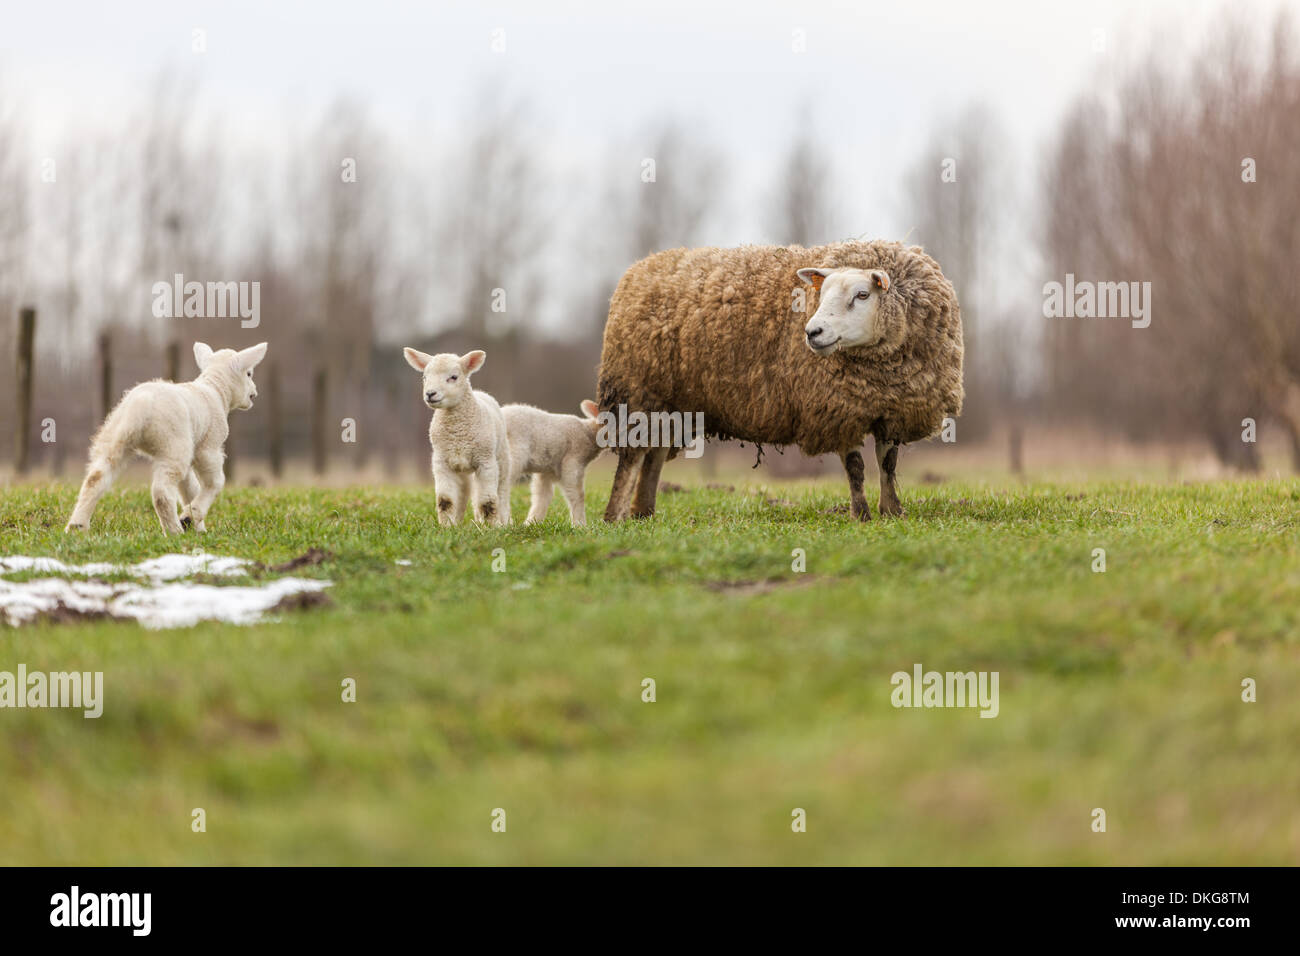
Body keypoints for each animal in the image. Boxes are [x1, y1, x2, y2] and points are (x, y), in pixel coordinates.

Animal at [65, 341, 269, 534]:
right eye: (249, 373)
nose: (255, 393)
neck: (216, 389)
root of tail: (142, 404)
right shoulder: (208, 448)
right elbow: (215, 482)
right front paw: (189, 517)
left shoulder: (192, 451)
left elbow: (189, 488)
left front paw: (198, 527)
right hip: (173, 445)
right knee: (161, 492)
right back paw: (174, 531)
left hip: (115, 437)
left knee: (95, 478)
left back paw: (77, 526)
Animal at [403, 347, 512, 526]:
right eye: (424, 377)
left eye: (453, 377)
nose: (430, 394)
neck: (458, 433)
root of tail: (481, 392)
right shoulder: (441, 462)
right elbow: (445, 500)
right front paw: (447, 526)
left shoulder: (486, 461)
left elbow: (487, 501)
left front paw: (493, 527)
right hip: (462, 469)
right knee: (463, 493)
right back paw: (460, 523)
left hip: (501, 458)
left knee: (501, 492)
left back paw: (504, 522)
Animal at [596, 240, 963, 521]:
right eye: (821, 294)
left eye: (862, 294)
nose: (812, 332)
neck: (879, 372)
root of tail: (640, 268)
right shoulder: (836, 409)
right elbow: (856, 467)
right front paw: (861, 514)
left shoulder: (892, 408)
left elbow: (887, 464)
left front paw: (892, 512)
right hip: (636, 393)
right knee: (631, 459)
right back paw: (615, 516)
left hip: (670, 403)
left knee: (654, 454)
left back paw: (643, 512)